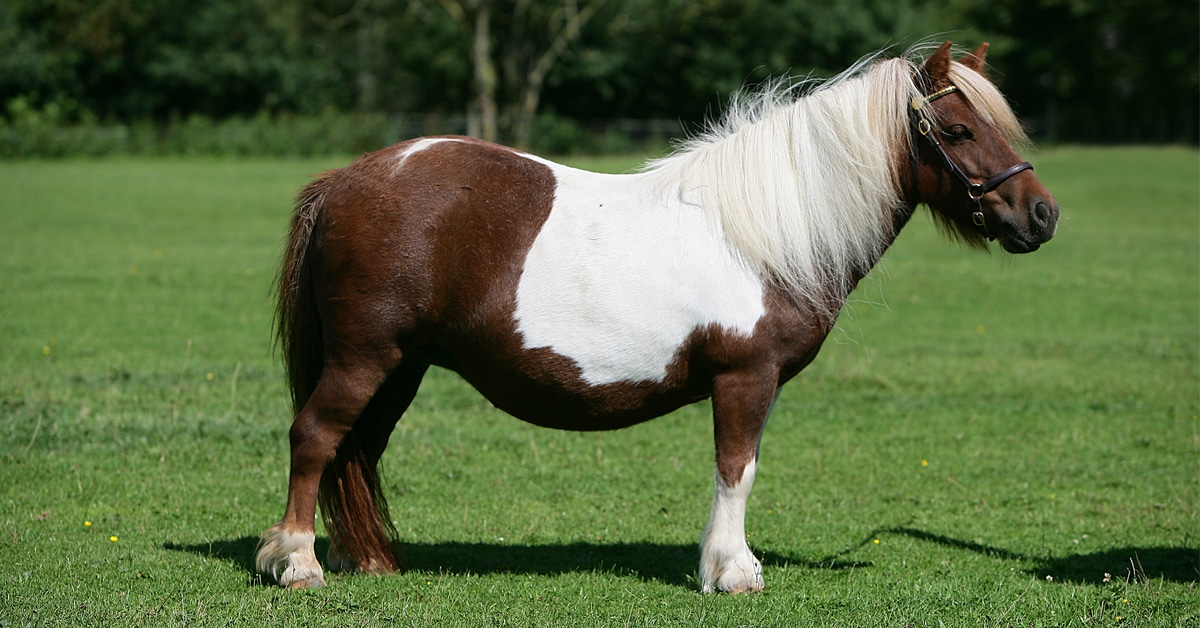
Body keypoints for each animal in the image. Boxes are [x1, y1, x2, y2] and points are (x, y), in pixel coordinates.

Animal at [255, 41, 1058, 593]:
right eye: (957, 131)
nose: (1041, 215)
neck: (762, 234)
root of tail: (348, 179)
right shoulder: (745, 377)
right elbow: (737, 469)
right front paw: (732, 571)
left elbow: (739, 468)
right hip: (366, 357)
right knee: (316, 435)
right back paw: (297, 561)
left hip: (403, 367)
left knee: (356, 449)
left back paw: (368, 561)